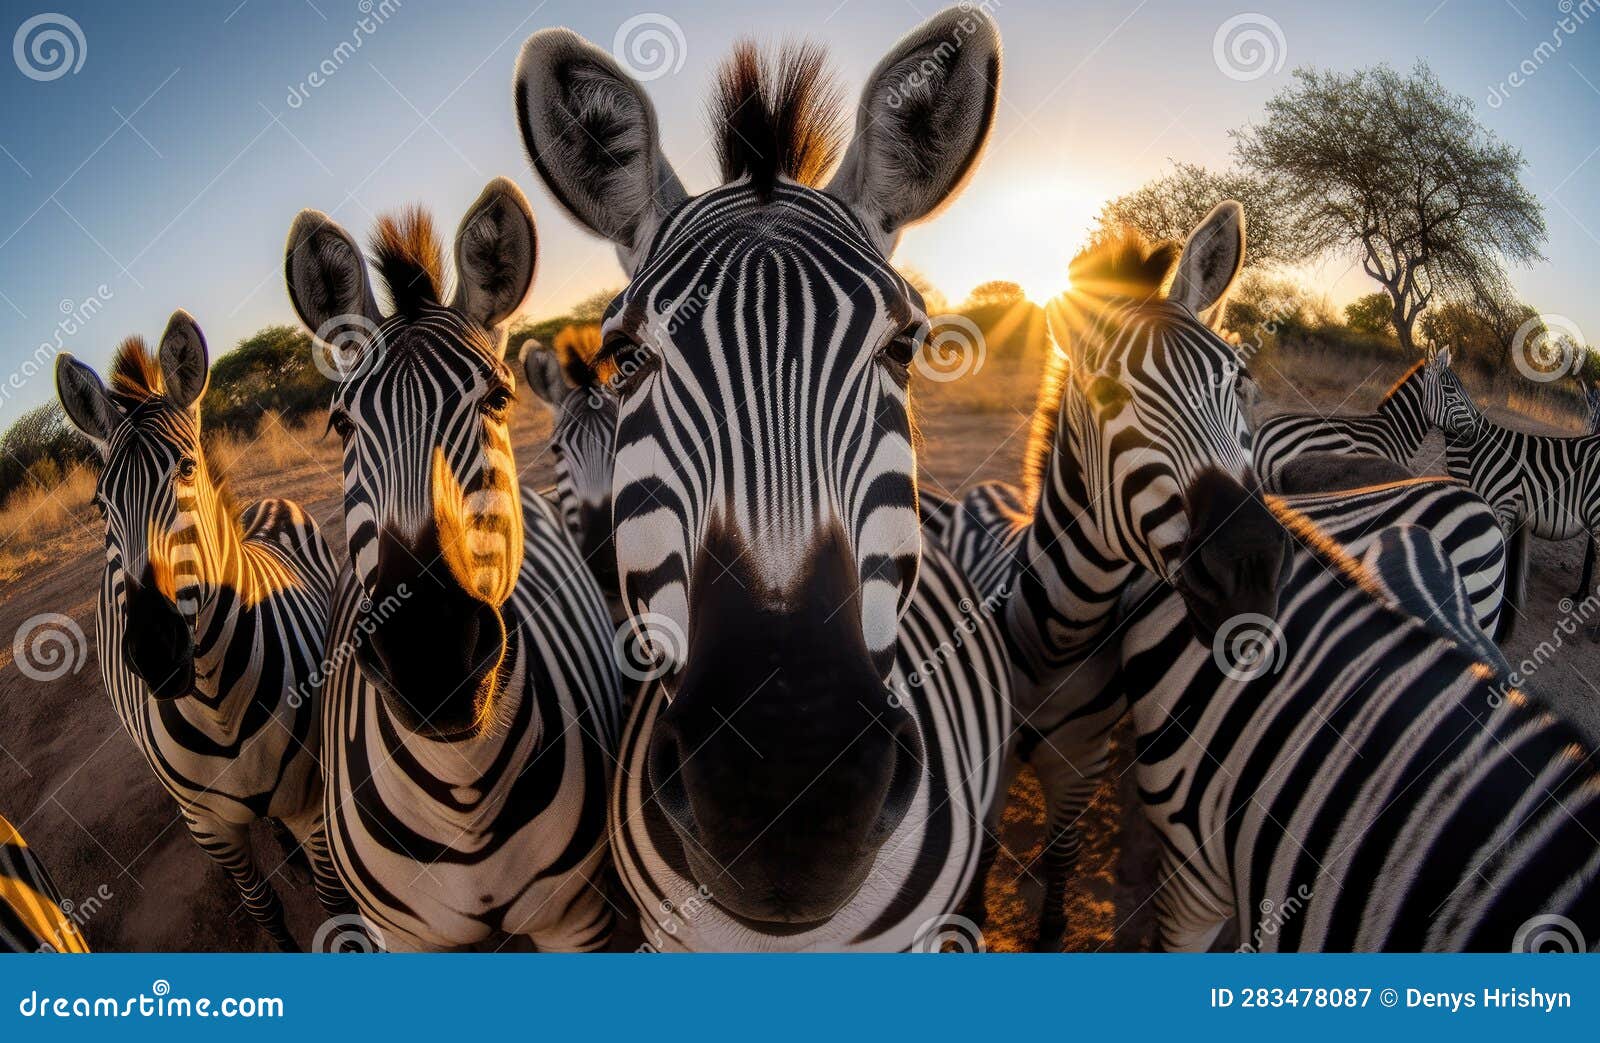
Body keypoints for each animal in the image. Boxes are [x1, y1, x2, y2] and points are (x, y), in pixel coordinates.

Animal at [54, 313, 351, 952]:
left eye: (187, 471)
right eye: (99, 505)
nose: (153, 650)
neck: (218, 705)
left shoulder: (312, 801)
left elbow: (338, 911)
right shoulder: (208, 826)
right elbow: (262, 908)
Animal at [283, 178, 625, 951]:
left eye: (497, 399)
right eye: (340, 425)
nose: (429, 656)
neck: (461, 788)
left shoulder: (581, 919)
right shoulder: (406, 939)